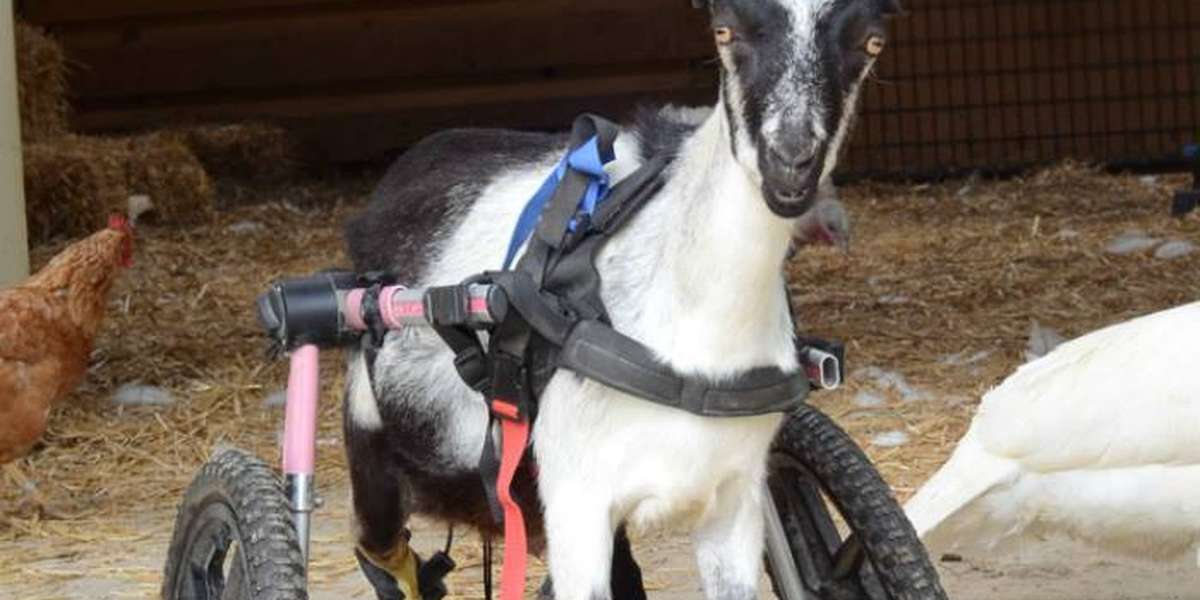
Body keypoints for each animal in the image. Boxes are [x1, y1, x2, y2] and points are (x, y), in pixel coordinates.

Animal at [343, 1, 899, 599]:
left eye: (871, 42)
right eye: (724, 30)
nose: (790, 161)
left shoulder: (734, 498)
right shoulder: (577, 502)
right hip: (376, 439)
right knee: (381, 547)